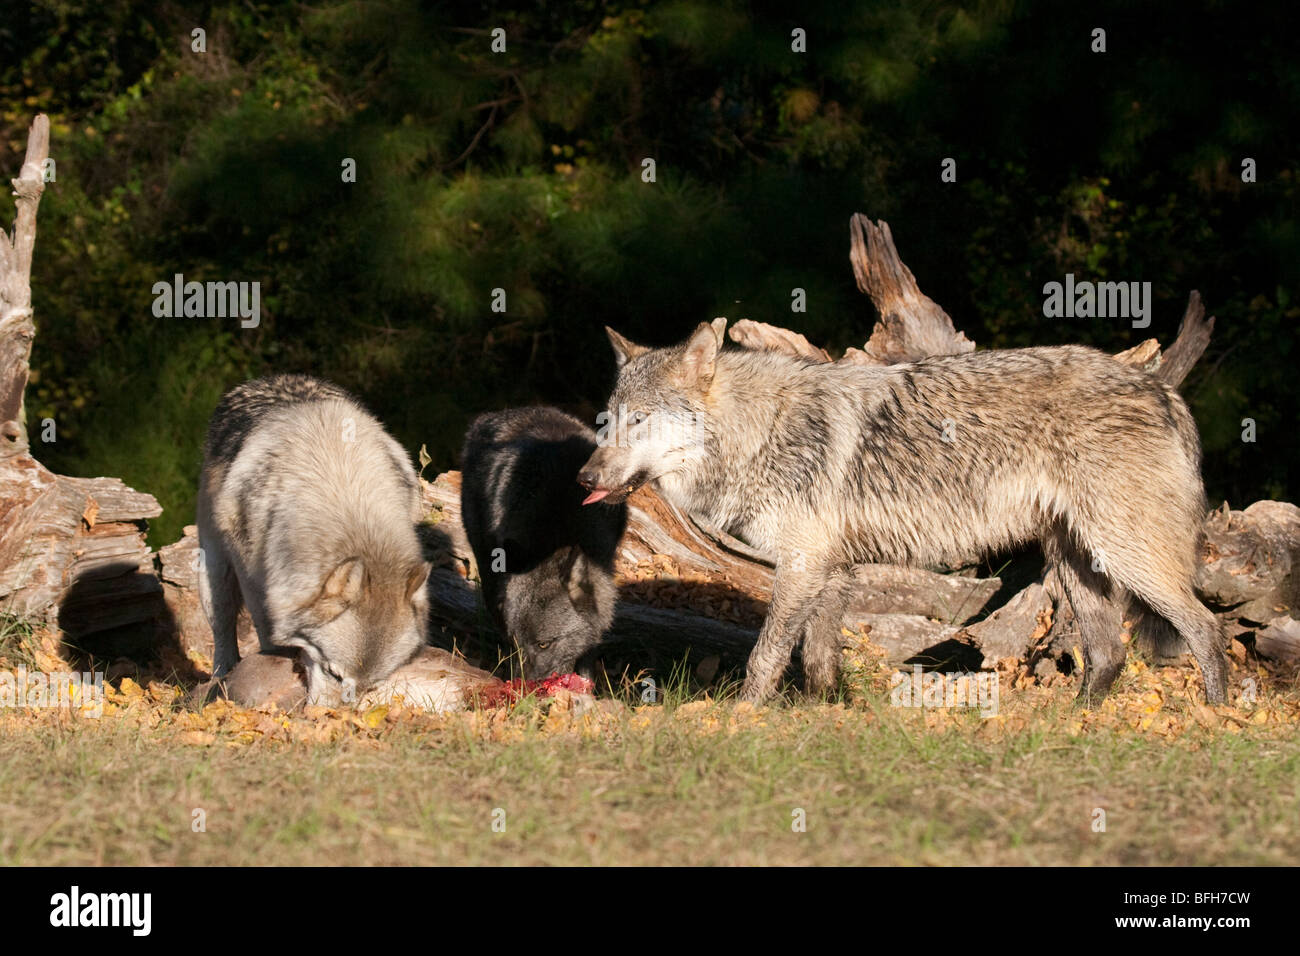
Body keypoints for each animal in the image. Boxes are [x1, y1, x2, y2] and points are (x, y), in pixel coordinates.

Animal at [196, 374, 430, 706]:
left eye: (371, 686)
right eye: (334, 673)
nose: (328, 716)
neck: (346, 492)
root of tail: (272, 378)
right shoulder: (257, 582)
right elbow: (268, 631)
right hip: (214, 573)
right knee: (223, 629)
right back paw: (222, 672)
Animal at [578, 319, 1228, 705]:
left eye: (640, 420)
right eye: (608, 420)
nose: (583, 477)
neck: (760, 431)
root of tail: (1163, 390)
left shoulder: (802, 564)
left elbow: (767, 655)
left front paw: (742, 718)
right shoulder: (831, 570)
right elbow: (818, 656)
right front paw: (822, 713)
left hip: (1125, 557)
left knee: (1205, 627)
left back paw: (1216, 719)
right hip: (1076, 563)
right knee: (1108, 653)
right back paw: (1076, 723)